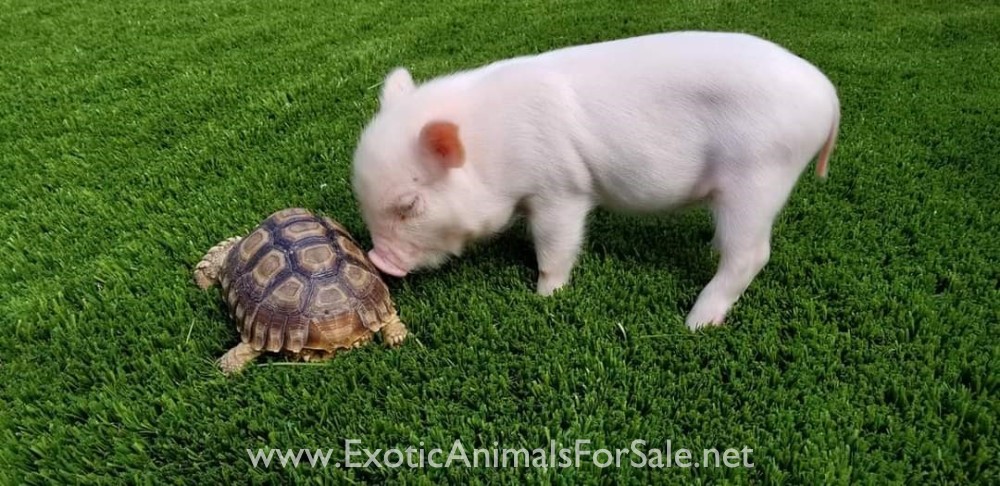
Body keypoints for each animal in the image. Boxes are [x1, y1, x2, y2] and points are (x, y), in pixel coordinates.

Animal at [350, 31, 840, 330]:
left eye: (409, 204)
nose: (377, 259)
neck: (493, 148)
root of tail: (828, 93)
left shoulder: (561, 188)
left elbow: (555, 246)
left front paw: (544, 297)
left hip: (758, 175)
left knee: (752, 255)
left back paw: (696, 322)